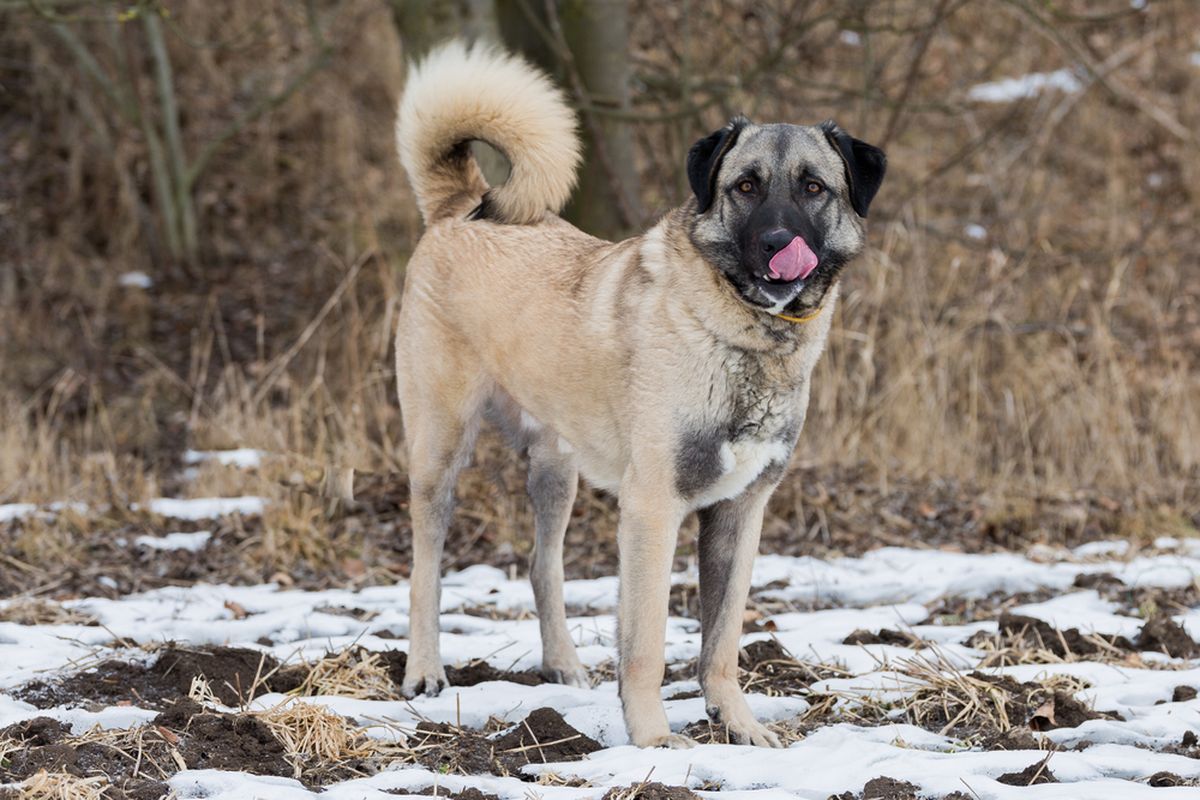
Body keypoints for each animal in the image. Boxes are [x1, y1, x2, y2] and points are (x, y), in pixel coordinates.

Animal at [393, 40, 883, 748]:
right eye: (745, 186)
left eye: (813, 188)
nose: (776, 244)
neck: (743, 336)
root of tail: (464, 204)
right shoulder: (654, 510)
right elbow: (648, 642)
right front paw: (652, 739)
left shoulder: (740, 514)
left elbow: (722, 642)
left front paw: (738, 726)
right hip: (440, 452)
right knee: (424, 568)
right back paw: (425, 672)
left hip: (555, 470)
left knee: (544, 566)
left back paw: (563, 666)